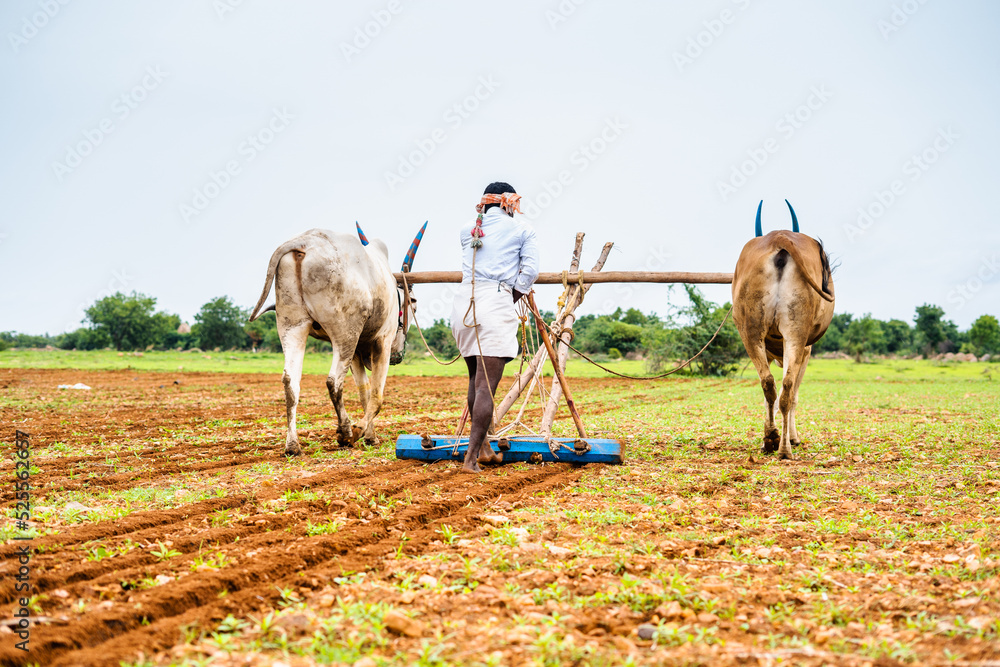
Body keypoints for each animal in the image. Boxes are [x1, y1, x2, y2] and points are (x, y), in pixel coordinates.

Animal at [248, 222, 426, 455]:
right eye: (413, 303)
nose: (398, 355)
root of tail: (305, 241)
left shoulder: (357, 351)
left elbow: (364, 393)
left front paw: (371, 436)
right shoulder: (382, 342)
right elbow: (376, 396)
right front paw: (360, 431)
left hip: (293, 326)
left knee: (290, 382)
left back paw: (293, 446)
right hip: (345, 333)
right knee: (333, 381)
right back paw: (346, 432)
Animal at [731, 200, 835, 460]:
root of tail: (779, 237)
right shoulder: (807, 350)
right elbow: (794, 396)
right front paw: (793, 437)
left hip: (751, 334)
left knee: (769, 385)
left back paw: (772, 440)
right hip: (796, 337)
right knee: (787, 389)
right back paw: (785, 448)